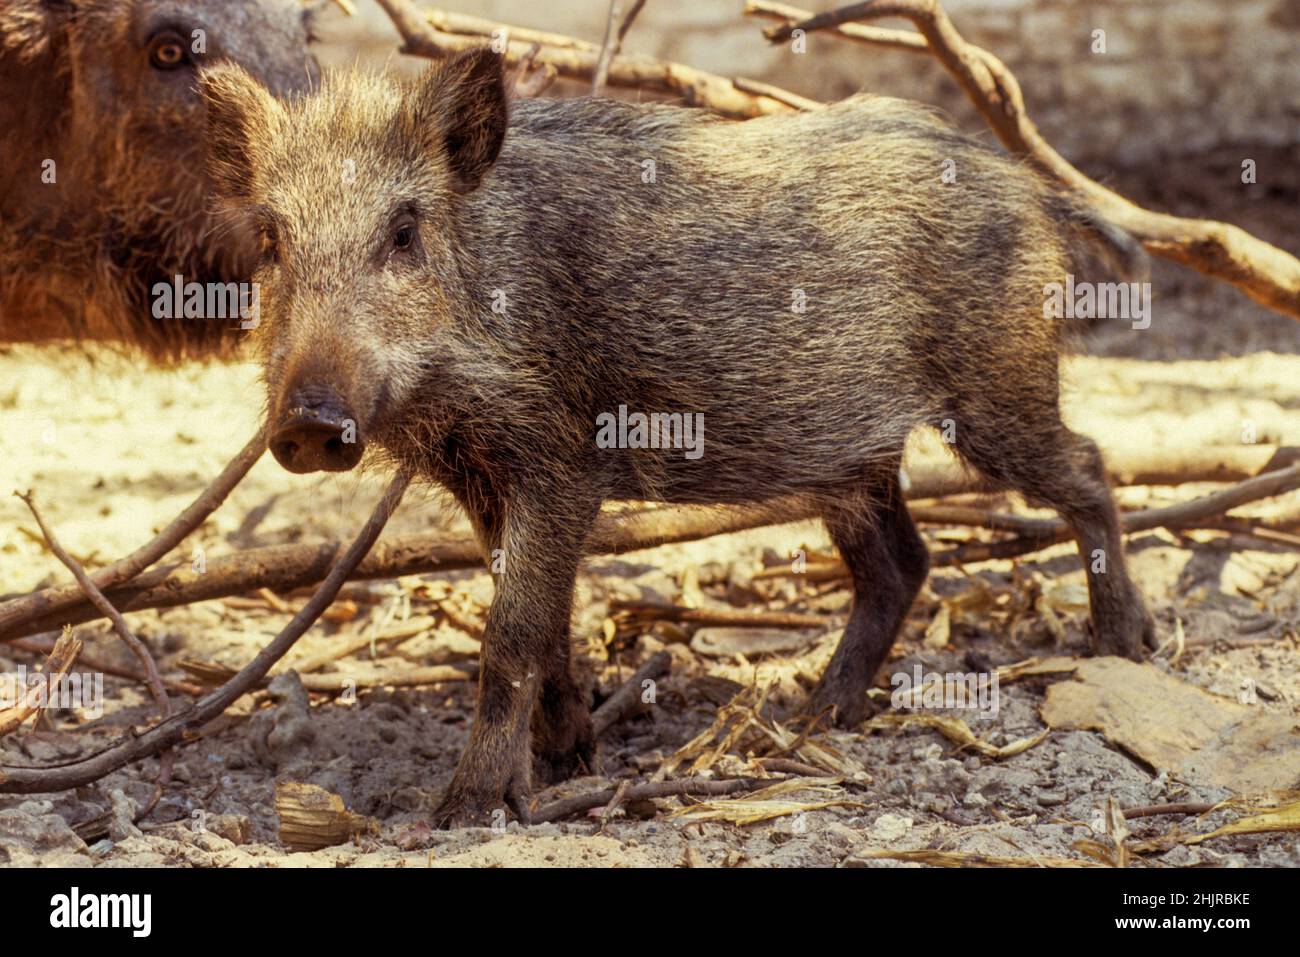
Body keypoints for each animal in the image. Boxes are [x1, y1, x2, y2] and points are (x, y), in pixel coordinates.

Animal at [199, 49, 1156, 827]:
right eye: (272, 238)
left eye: (404, 231)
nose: (309, 421)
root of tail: (1034, 189)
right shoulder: (487, 480)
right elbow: (549, 626)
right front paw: (568, 759)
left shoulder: (561, 463)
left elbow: (512, 632)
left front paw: (469, 809)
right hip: (851, 452)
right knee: (903, 561)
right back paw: (815, 714)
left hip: (997, 388)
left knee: (1088, 468)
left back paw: (1123, 645)